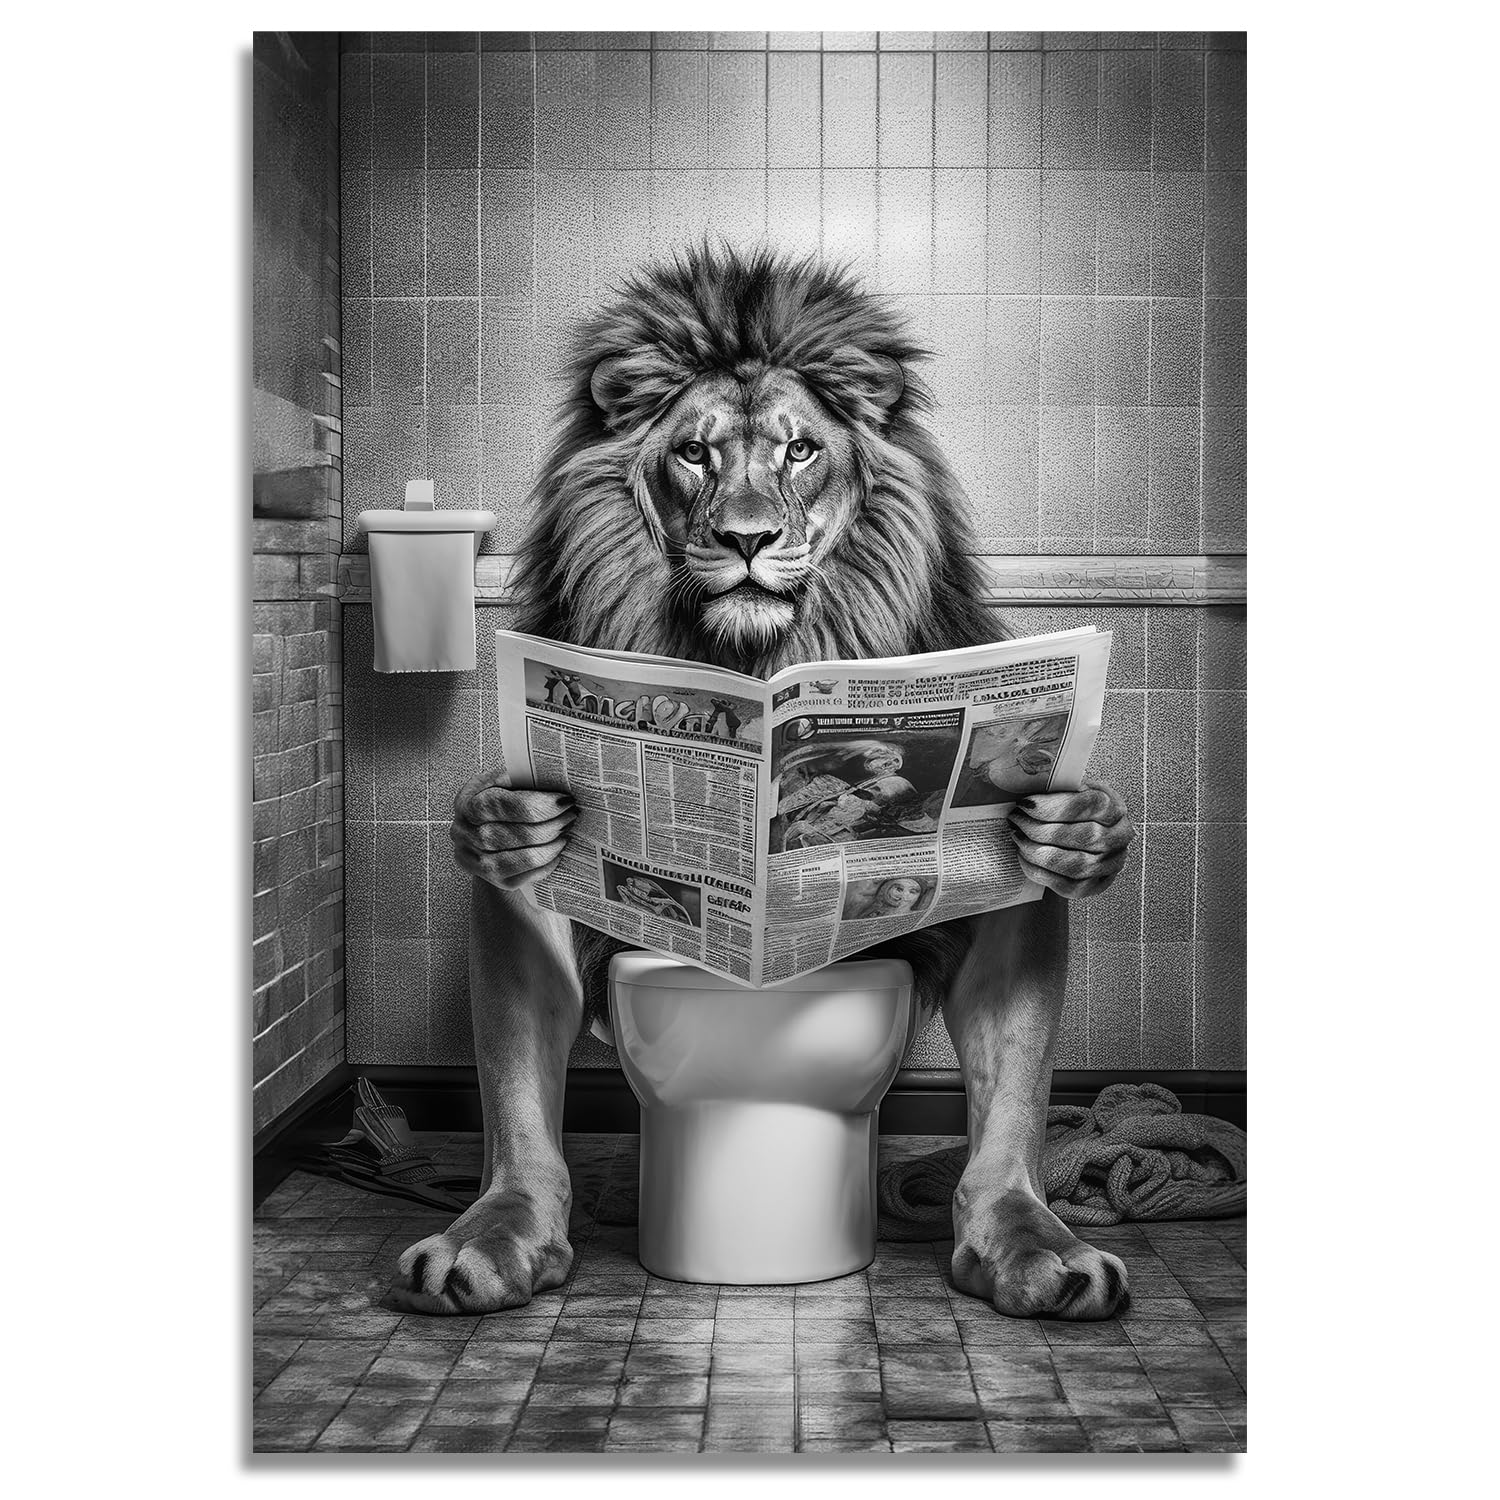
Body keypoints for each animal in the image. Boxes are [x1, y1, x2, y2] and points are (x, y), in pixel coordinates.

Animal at [392, 245, 1135, 1319]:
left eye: (800, 452)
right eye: (696, 455)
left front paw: (1079, 828)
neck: (756, 658)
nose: (746, 539)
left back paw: (1037, 1245)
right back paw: (494, 1236)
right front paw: (500, 821)